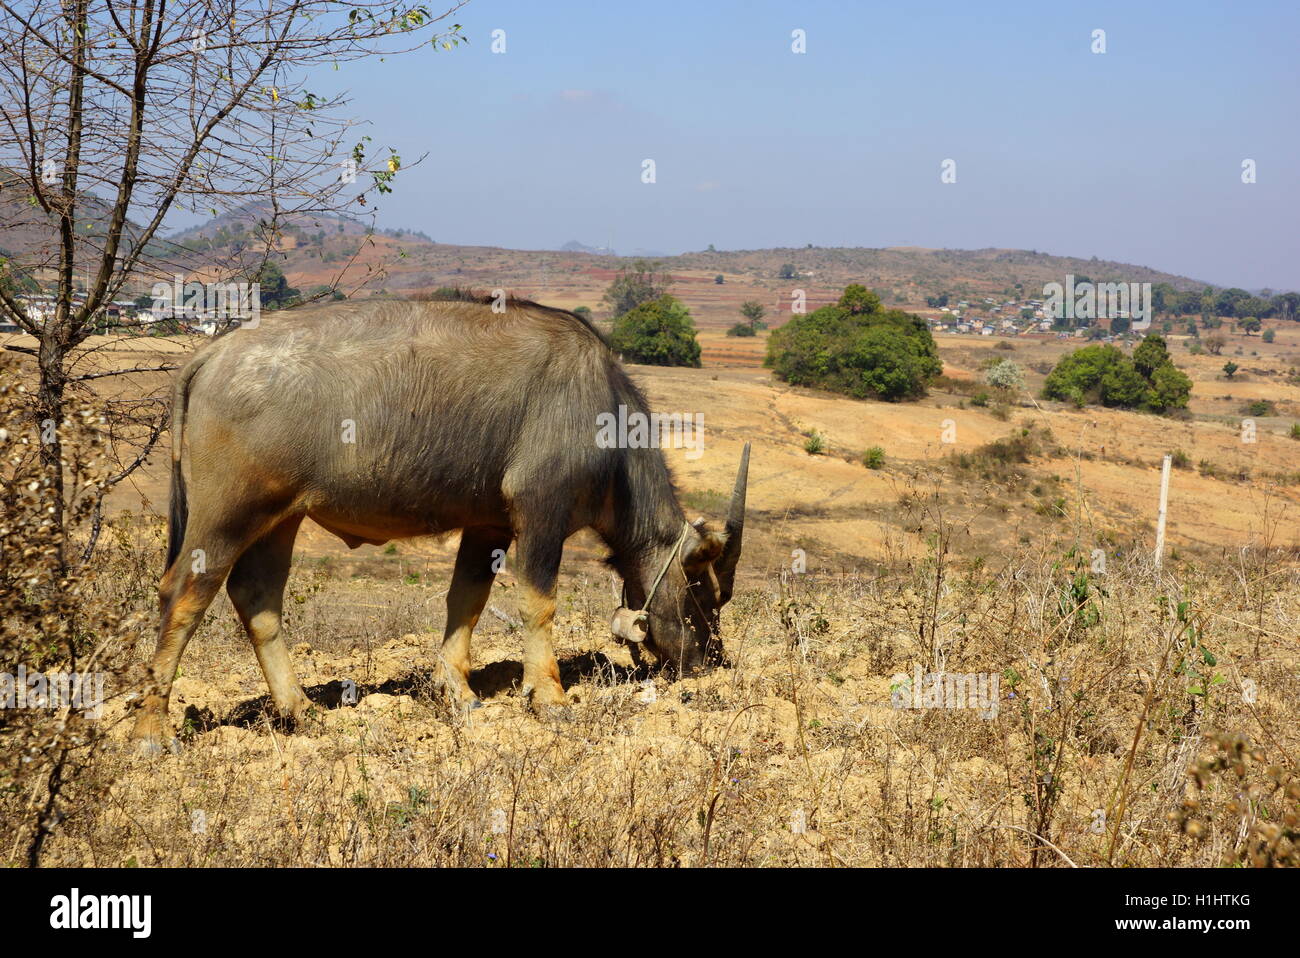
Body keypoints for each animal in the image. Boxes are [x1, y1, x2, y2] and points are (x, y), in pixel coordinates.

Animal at [131, 292, 749, 751]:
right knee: (183, 595)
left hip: (280, 519)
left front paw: (458, 688)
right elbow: (539, 604)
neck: (603, 407)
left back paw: (298, 707)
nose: (711, 660)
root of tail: (216, 352)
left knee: (257, 596)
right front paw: (549, 696)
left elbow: (466, 600)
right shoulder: (541, 518)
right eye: (702, 589)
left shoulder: (488, 528)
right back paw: (151, 730)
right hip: (227, 517)